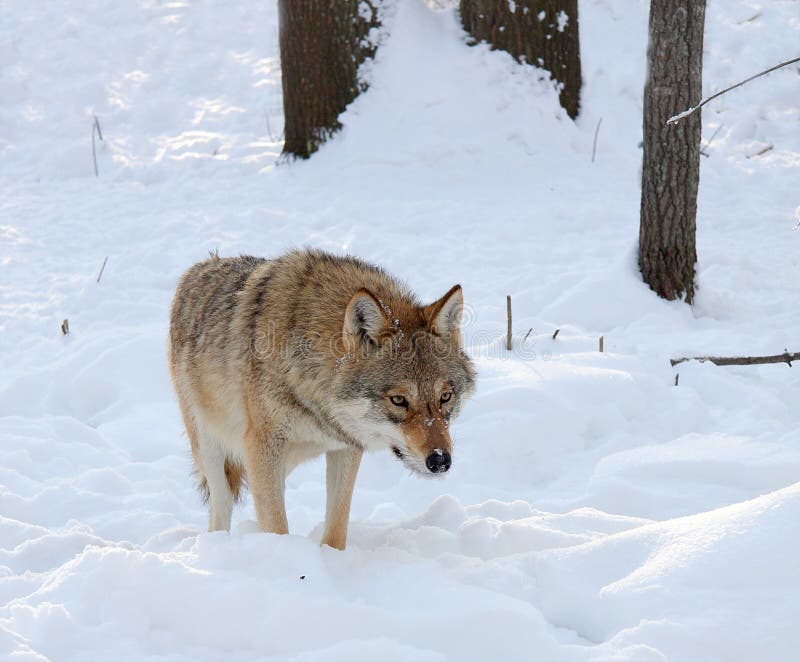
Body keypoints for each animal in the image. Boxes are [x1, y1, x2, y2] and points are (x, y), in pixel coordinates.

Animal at [168, 249, 476, 549]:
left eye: (445, 397)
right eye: (399, 400)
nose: (440, 461)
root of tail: (201, 266)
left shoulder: (346, 447)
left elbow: (337, 527)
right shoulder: (262, 446)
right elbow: (276, 526)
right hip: (211, 447)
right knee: (221, 505)